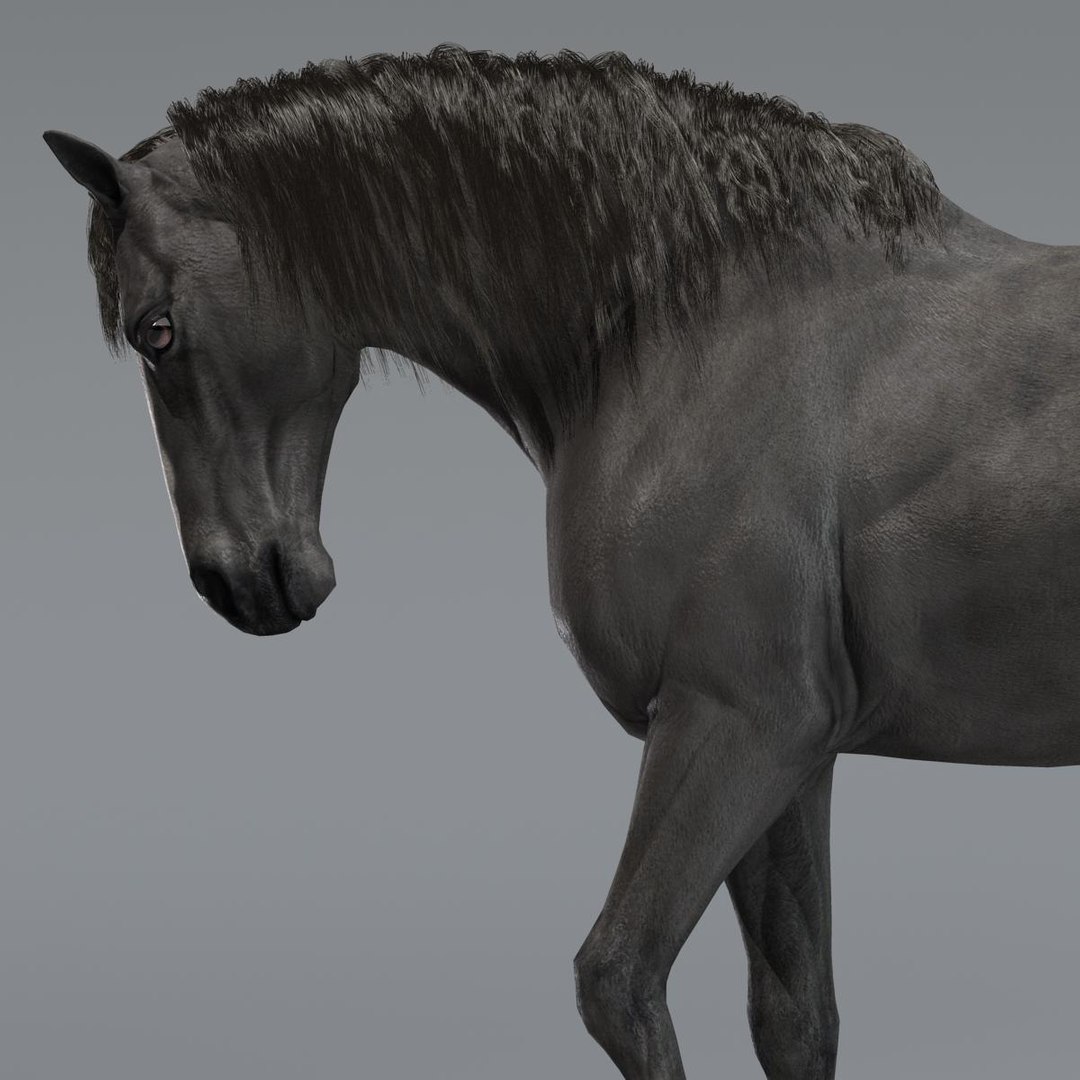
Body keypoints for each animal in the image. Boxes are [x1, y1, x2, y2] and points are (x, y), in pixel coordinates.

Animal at [44, 44, 1080, 1080]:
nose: (235, 583)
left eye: (155, 331)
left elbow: (618, 981)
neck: (698, 327)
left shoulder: (741, 722)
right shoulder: (799, 752)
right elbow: (794, 1016)